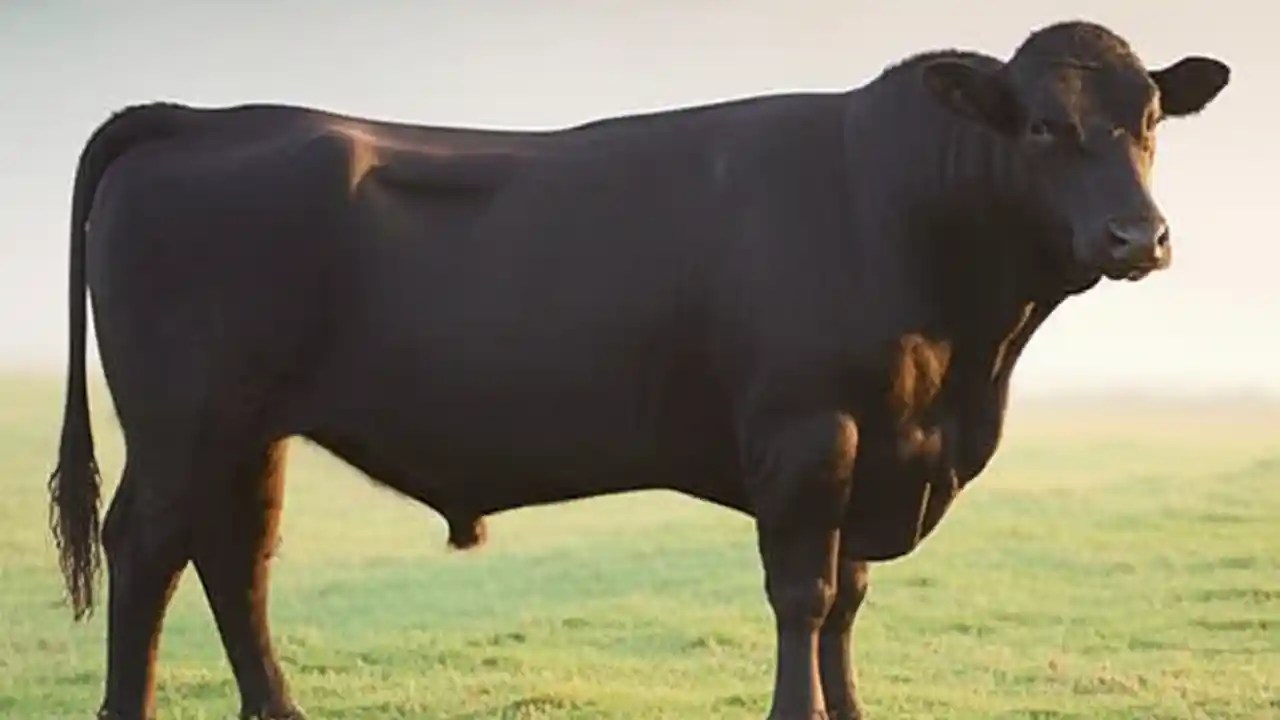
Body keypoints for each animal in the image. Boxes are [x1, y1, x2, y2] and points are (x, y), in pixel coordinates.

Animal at [47, 20, 1227, 720]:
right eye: (1042, 126)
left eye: (1149, 121)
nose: (1139, 235)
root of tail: (200, 119)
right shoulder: (807, 436)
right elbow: (802, 596)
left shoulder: (884, 445)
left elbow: (847, 599)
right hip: (183, 423)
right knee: (147, 551)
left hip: (248, 431)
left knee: (235, 559)